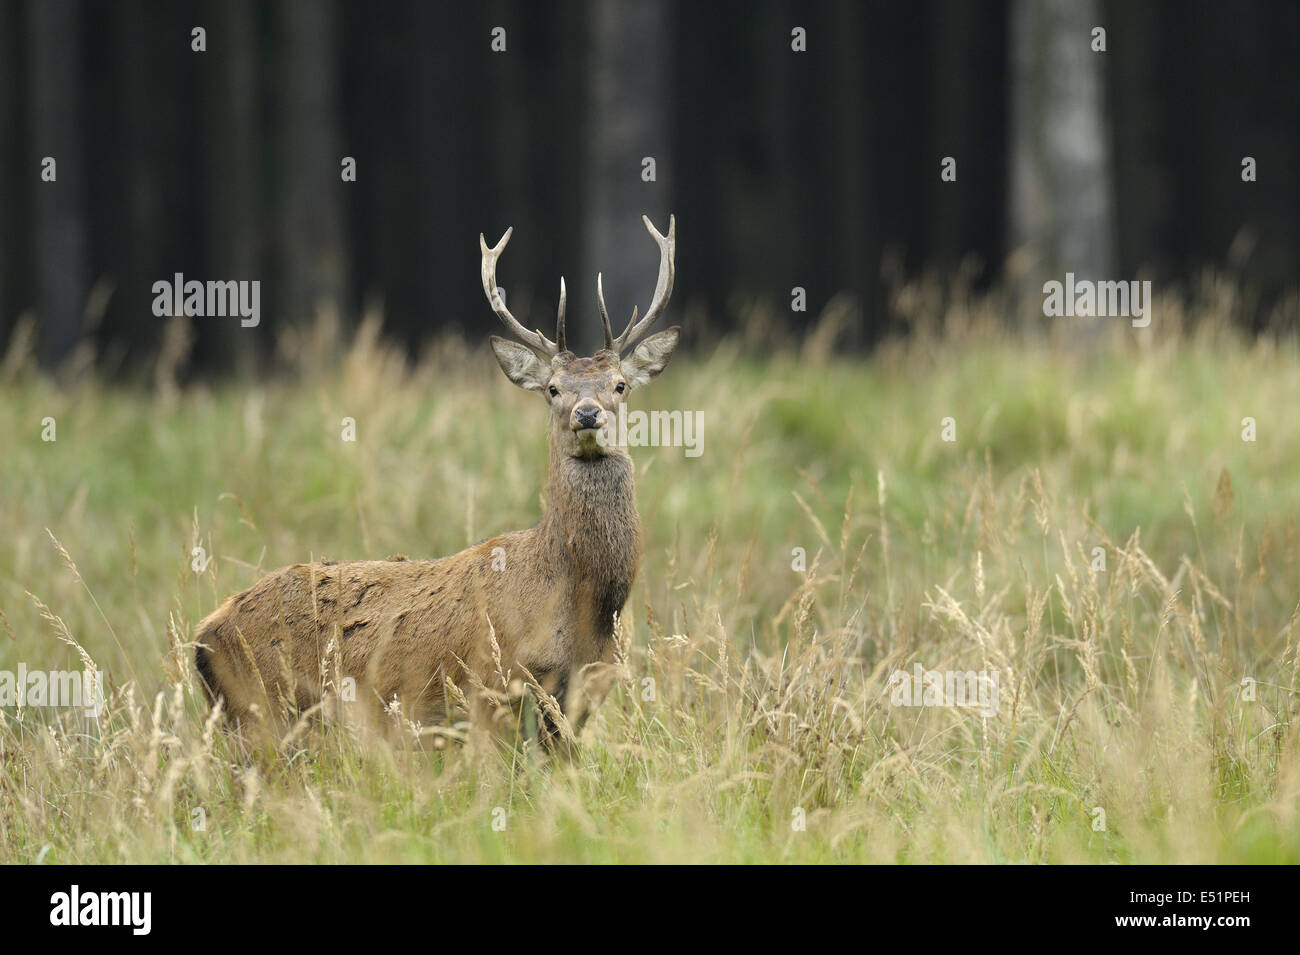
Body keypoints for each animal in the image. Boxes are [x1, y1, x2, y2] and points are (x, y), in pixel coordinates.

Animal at [194, 214, 679, 745]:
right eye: (553, 389)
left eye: (620, 385)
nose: (587, 413)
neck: (582, 607)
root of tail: (203, 635)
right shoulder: (491, 688)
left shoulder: (578, 703)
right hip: (261, 711)